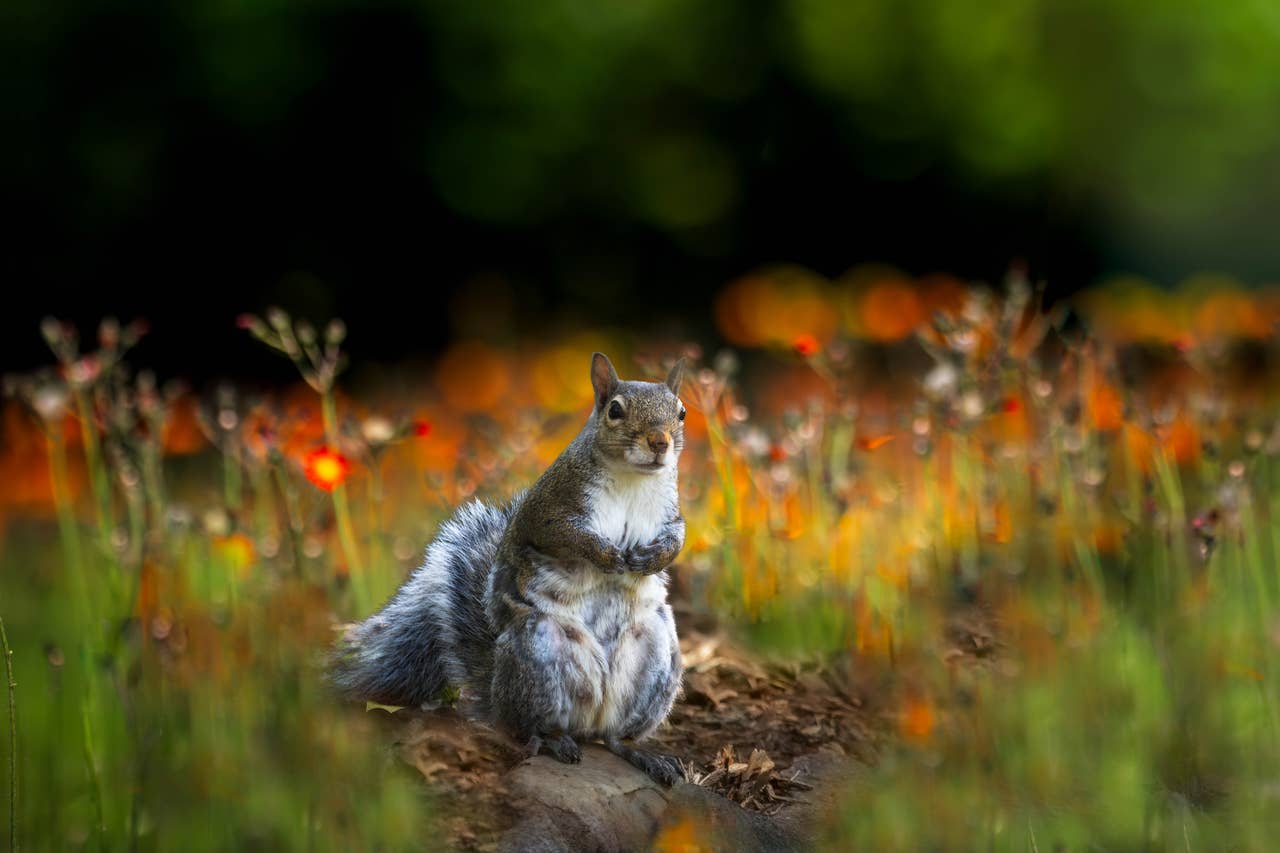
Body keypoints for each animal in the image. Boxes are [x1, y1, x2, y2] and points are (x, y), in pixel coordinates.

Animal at [333, 352, 688, 785]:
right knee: (529, 727)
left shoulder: (670, 515)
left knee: (614, 737)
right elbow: (566, 536)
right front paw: (606, 555)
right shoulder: (547, 509)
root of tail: (587, 722)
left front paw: (652, 559)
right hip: (537, 650)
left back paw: (643, 753)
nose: (659, 442)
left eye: (682, 413)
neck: (634, 480)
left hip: (655, 657)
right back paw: (553, 741)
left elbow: (677, 538)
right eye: (615, 410)